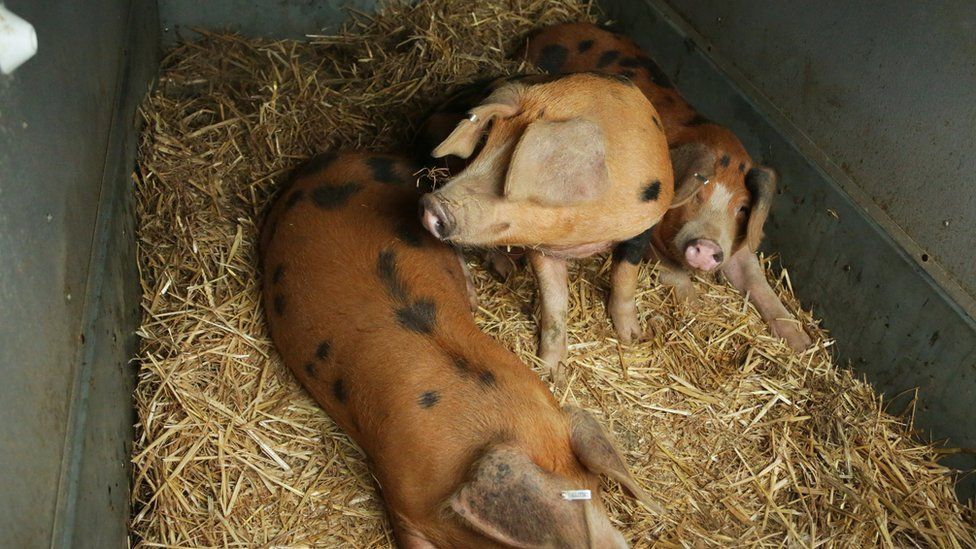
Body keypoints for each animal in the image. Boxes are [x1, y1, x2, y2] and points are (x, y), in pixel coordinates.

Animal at [416, 73, 701, 374]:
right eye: (484, 145)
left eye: (511, 171)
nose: (430, 206)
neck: (584, 232)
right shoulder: (542, 246)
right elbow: (553, 298)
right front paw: (551, 371)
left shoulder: (644, 224)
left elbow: (624, 277)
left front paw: (632, 338)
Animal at [520, 23, 814, 352]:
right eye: (697, 194)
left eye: (741, 208)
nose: (707, 245)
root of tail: (546, 30)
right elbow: (673, 274)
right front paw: (695, 308)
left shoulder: (735, 245)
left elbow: (755, 280)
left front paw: (802, 343)